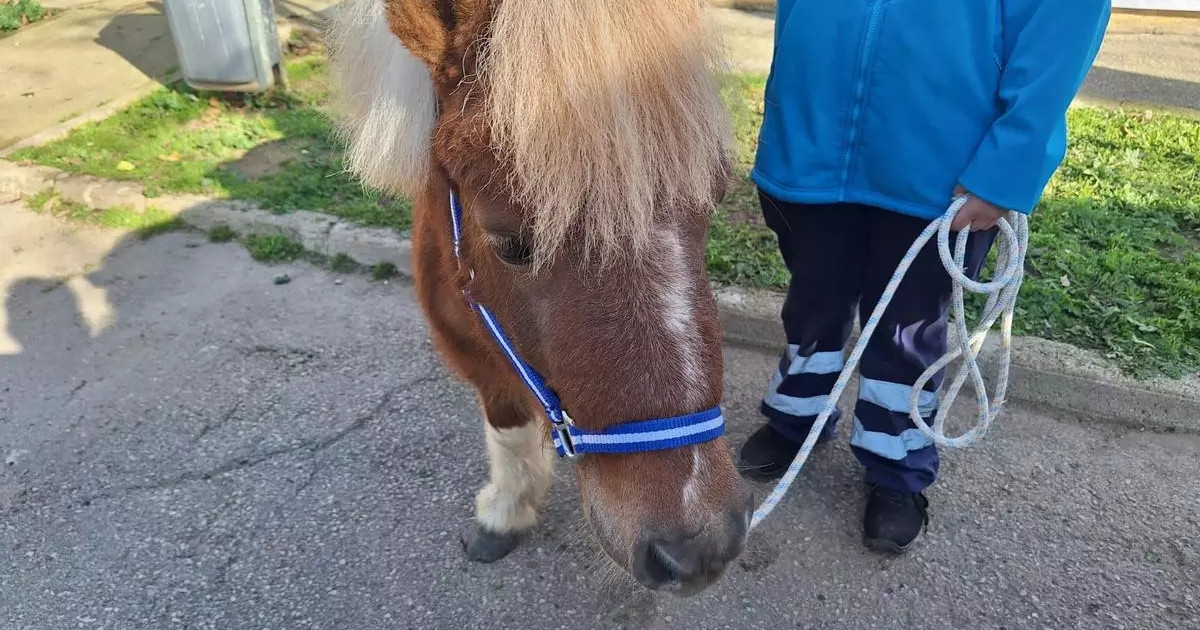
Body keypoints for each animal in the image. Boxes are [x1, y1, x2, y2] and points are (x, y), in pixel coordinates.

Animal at [326, 0, 751, 595]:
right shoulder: (472, 350)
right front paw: (505, 510)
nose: (700, 547)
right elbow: (507, 426)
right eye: (511, 244)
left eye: (713, 203)